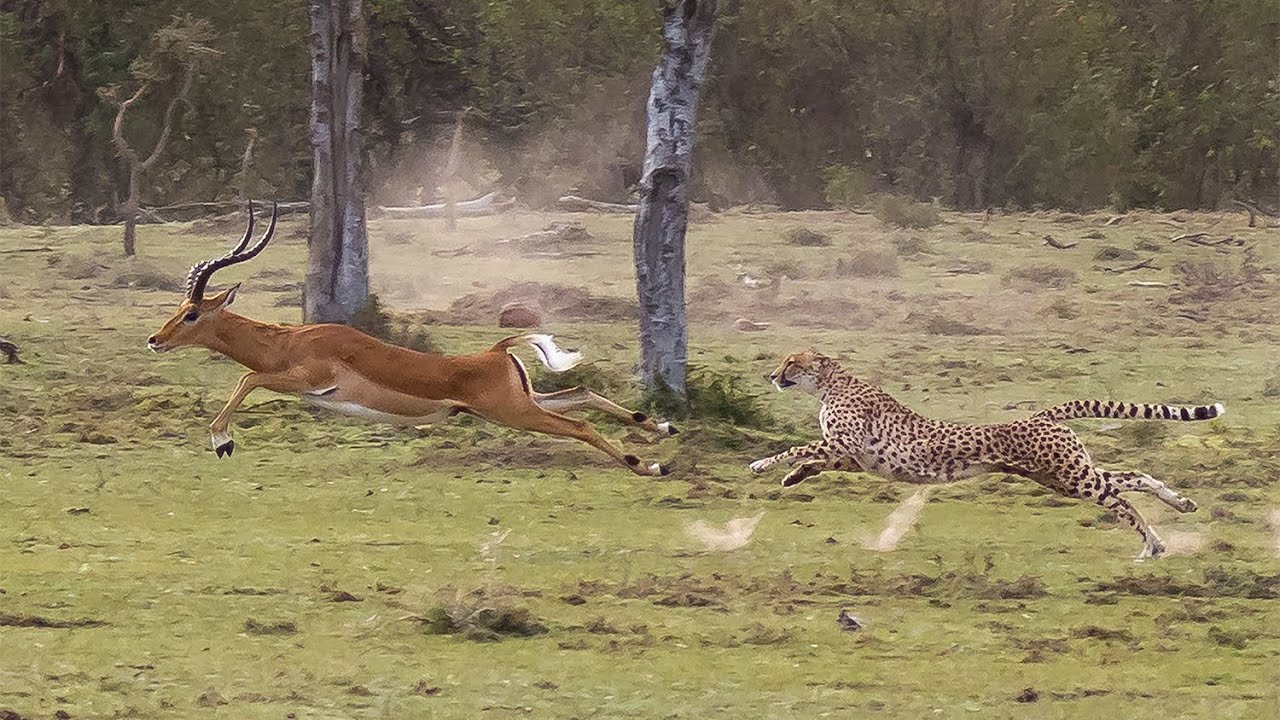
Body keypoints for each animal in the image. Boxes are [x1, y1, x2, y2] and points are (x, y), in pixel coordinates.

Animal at [147, 203, 676, 476]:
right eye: (177, 309)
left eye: (192, 313)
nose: (155, 340)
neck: (289, 341)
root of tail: (496, 353)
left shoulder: (305, 380)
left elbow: (247, 379)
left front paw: (222, 442)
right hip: (524, 403)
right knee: (582, 392)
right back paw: (660, 429)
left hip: (515, 413)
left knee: (581, 426)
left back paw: (648, 467)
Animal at [748, 350, 1225, 560]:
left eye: (791, 363)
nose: (771, 375)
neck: (832, 383)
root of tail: (1041, 415)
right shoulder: (856, 456)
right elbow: (814, 460)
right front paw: (792, 478)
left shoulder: (847, 445)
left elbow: (797, 447)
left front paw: (763, 465)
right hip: (1062, 476)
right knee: (1132, 476)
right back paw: (1179, 506)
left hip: (1074, 477)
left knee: (1122, 499)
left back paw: (1154, 543)